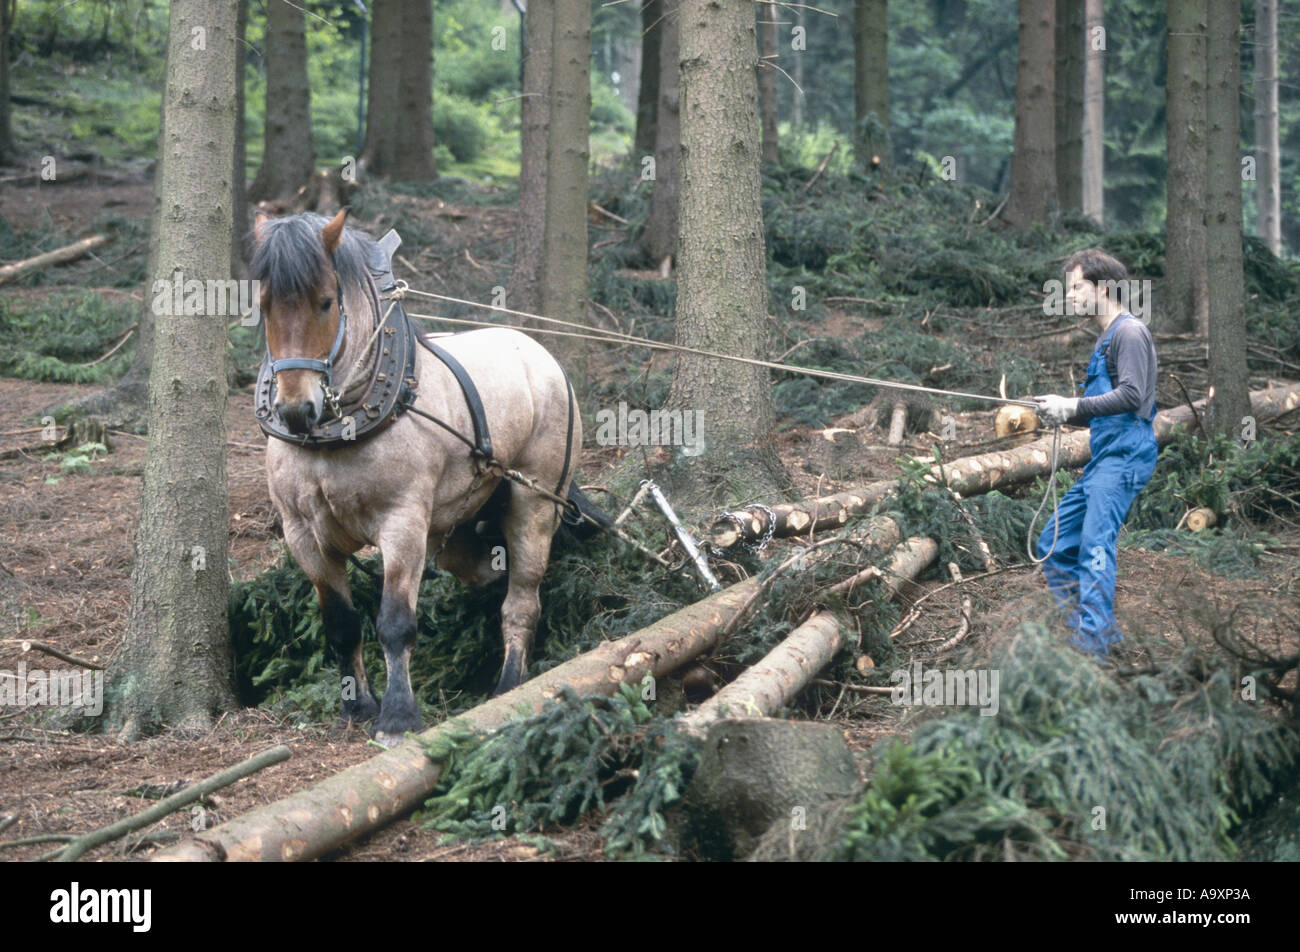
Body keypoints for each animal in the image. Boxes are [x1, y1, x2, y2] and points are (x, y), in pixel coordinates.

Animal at [250, 208, 593, 746]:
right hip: (459, 528)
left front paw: (397, 718)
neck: (338, 429)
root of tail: (540, 354)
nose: (294, 410)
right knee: (485, 569)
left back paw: (508, 684)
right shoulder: (302, 533)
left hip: (535, 501)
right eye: (263, 305)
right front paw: (356, 707)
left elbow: (395, 623)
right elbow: (342, 624)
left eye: (326, 302)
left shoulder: (402, 522)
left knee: (522, 598)